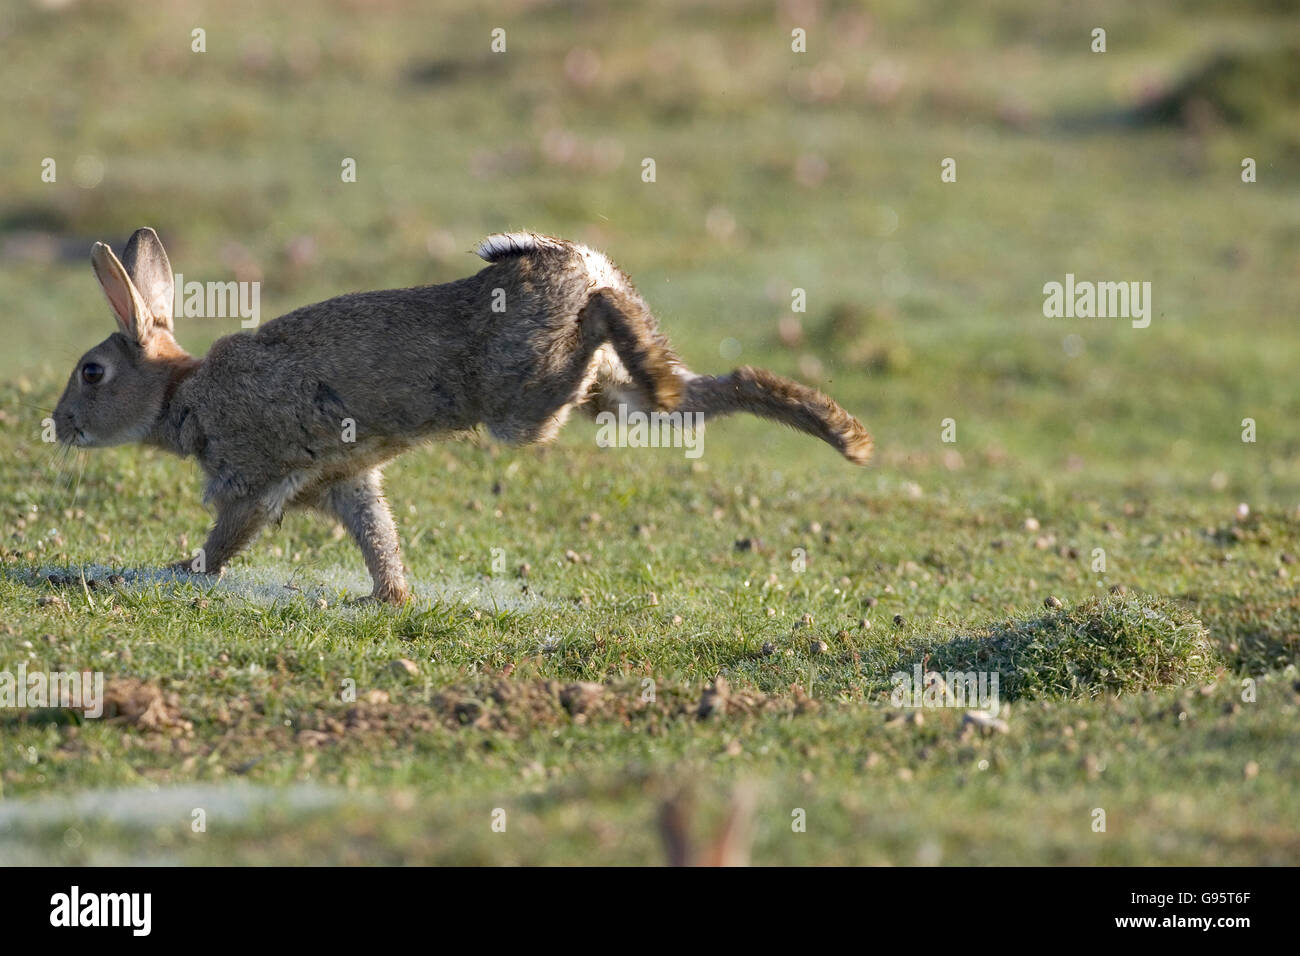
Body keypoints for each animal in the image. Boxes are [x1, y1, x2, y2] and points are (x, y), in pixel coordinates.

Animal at [54, 227, 872, 604]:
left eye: (92, 372)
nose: (59, 424)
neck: (179, 394)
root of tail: (576, 258)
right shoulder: (345, 482)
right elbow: (377, 536)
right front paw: (388, 598)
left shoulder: (250, 479)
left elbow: (226, 538)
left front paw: (177, 571)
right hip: (612, 397)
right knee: (701, 388)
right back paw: (844, 433)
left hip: (524, 400)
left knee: (593, 336)